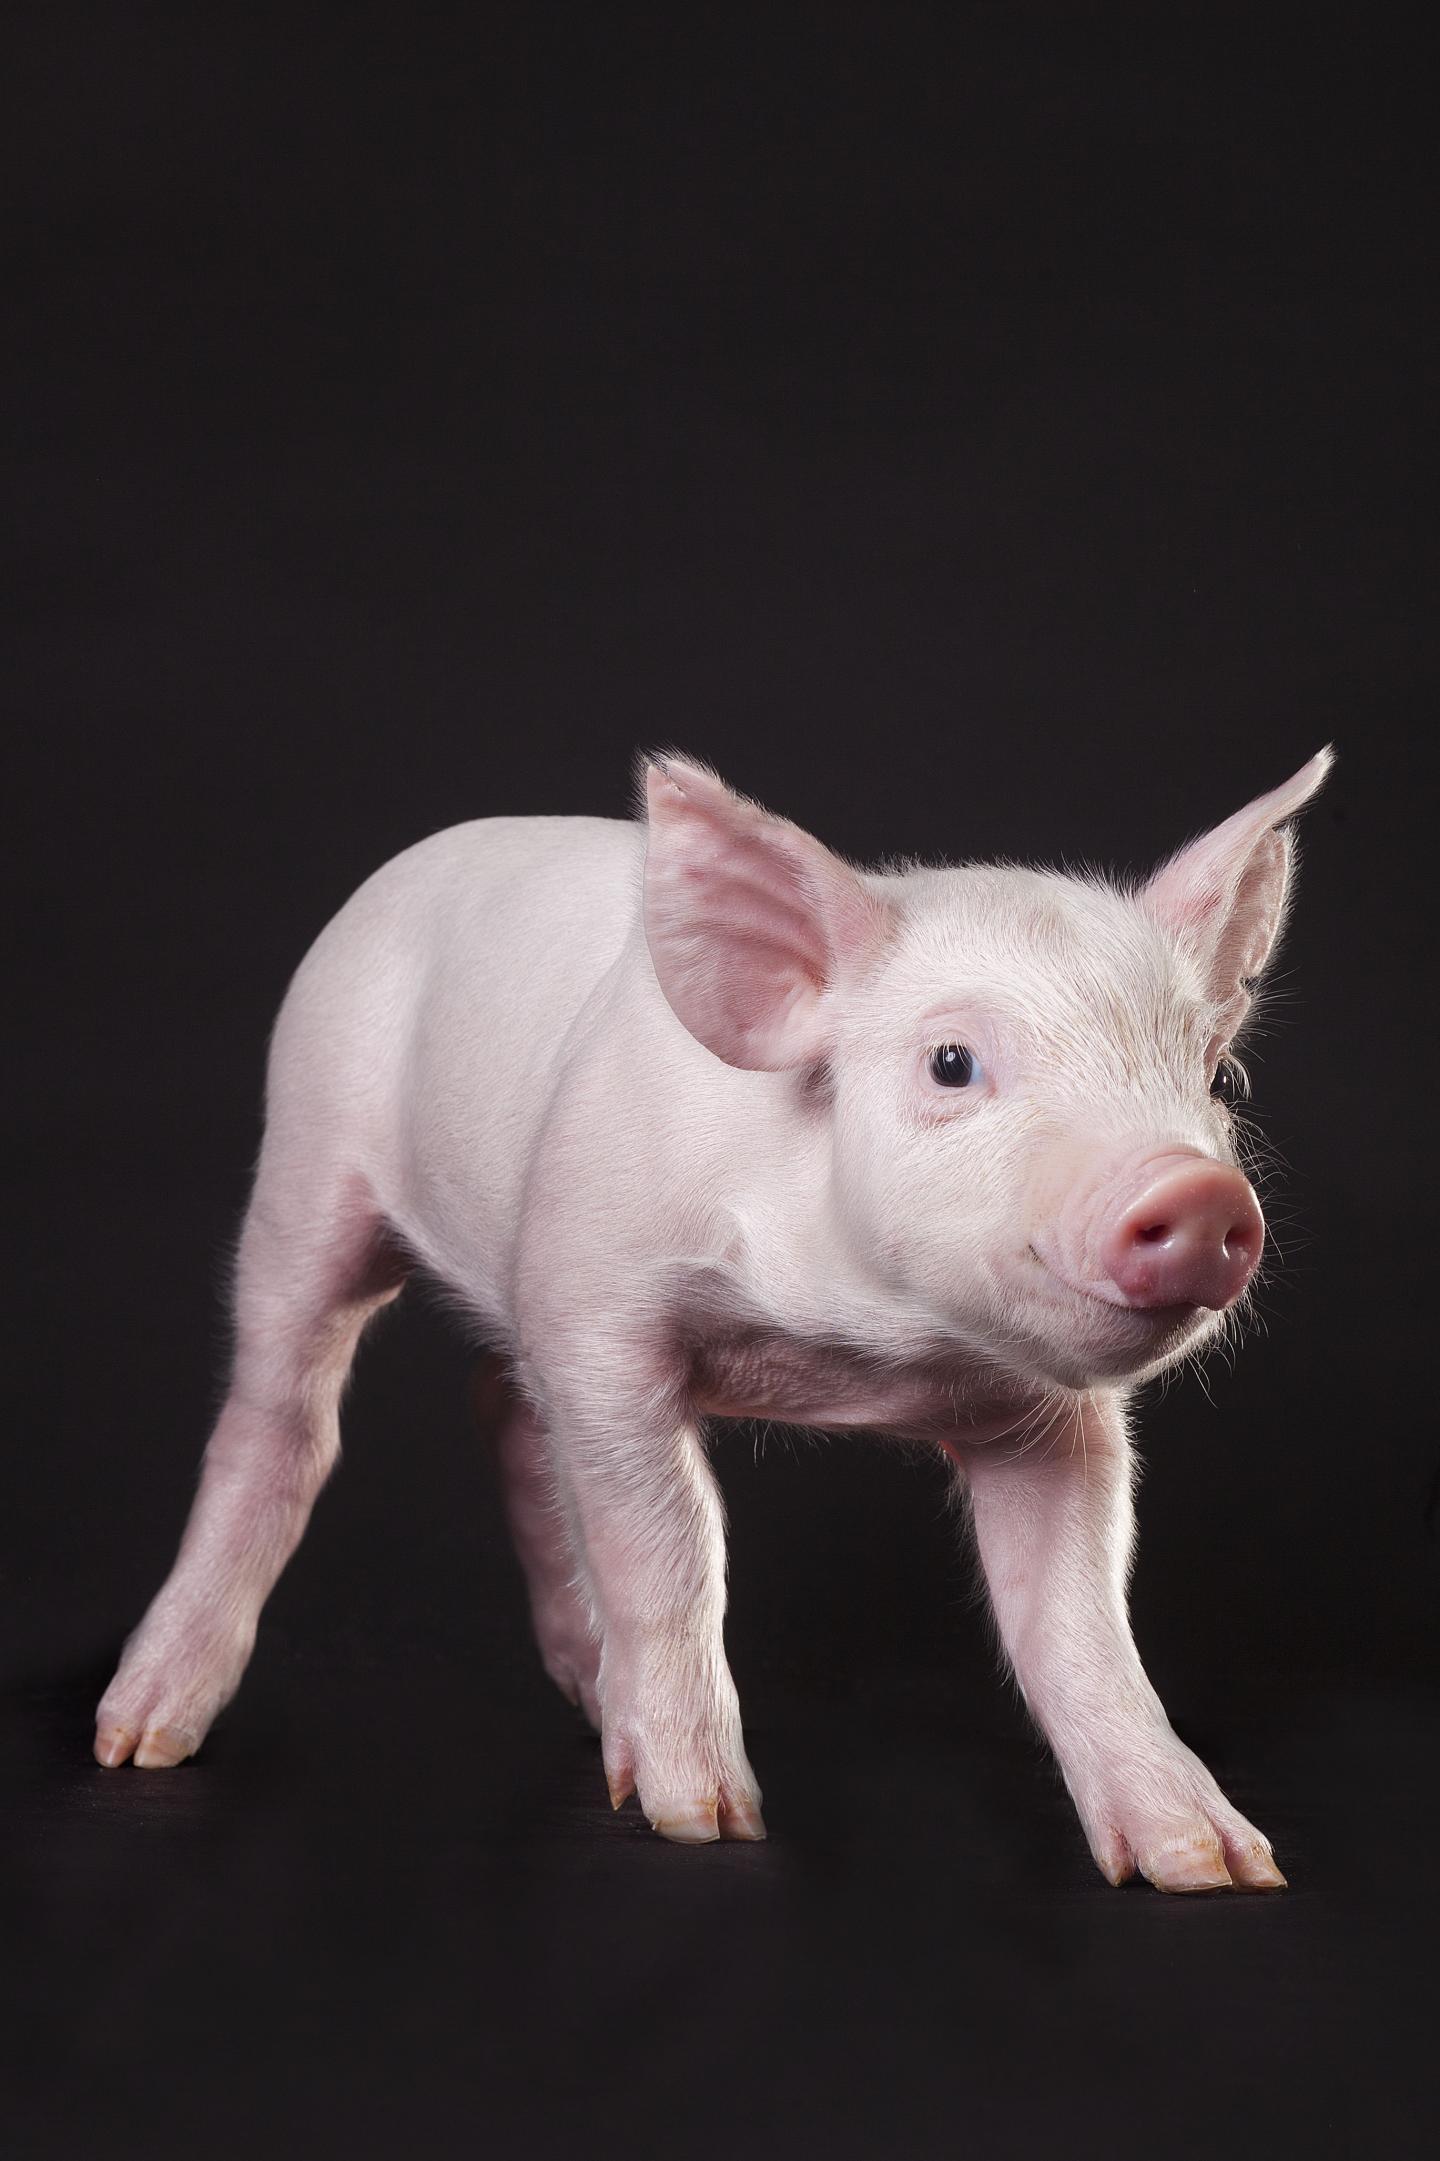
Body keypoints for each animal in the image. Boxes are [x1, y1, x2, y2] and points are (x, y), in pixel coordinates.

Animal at [95, 747, 1332, 1890]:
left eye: (1219, 1079)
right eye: (952, 1062)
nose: (1199, 1192)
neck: (860, 1354)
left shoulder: (1047, 1414)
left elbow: (1076, 1613)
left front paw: (1221, 1868)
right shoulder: (595, 1300)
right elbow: (672, 1547)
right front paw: (705, 1820)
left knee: (504, 1398)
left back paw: (592, 1702)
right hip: (307, 1151)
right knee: (283, 1413)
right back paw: (140, 1737)